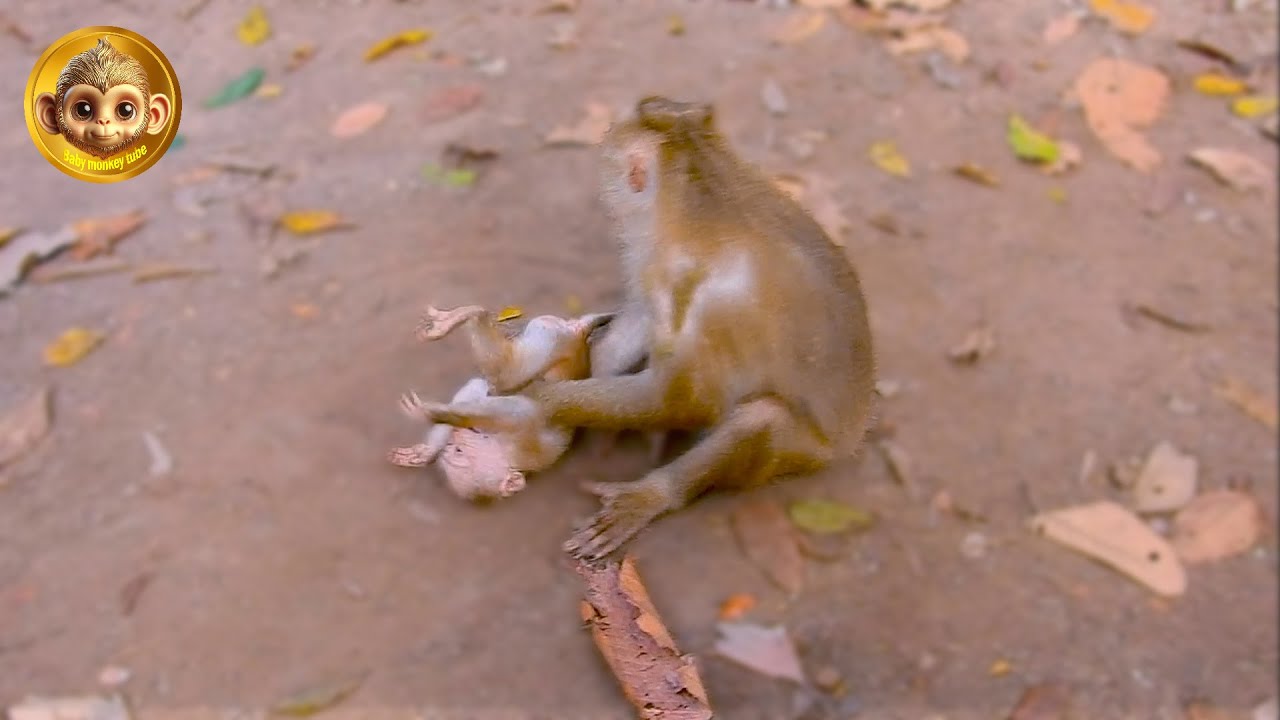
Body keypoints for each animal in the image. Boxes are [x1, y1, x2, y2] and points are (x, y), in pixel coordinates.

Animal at [388, 305, 614, 501]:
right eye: (453, 448)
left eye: (458, 452)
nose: (454, 438)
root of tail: (579, 336)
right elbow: (475, 390)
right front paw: (428, 450)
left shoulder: (521, 440)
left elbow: (510, 409)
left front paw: (431, 414)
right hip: (552, 332)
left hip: (554, 337)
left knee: (508, 374)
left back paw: (471, 315)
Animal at [416, 96, 877, 559]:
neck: (710, 202)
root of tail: (851, 438)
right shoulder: (660, 262)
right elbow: (643, 316)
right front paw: (535, 374)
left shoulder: (715, 301)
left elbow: (685, 399)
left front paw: (526, 402)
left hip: (801, 454)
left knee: (760, 414)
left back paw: (655, 493)